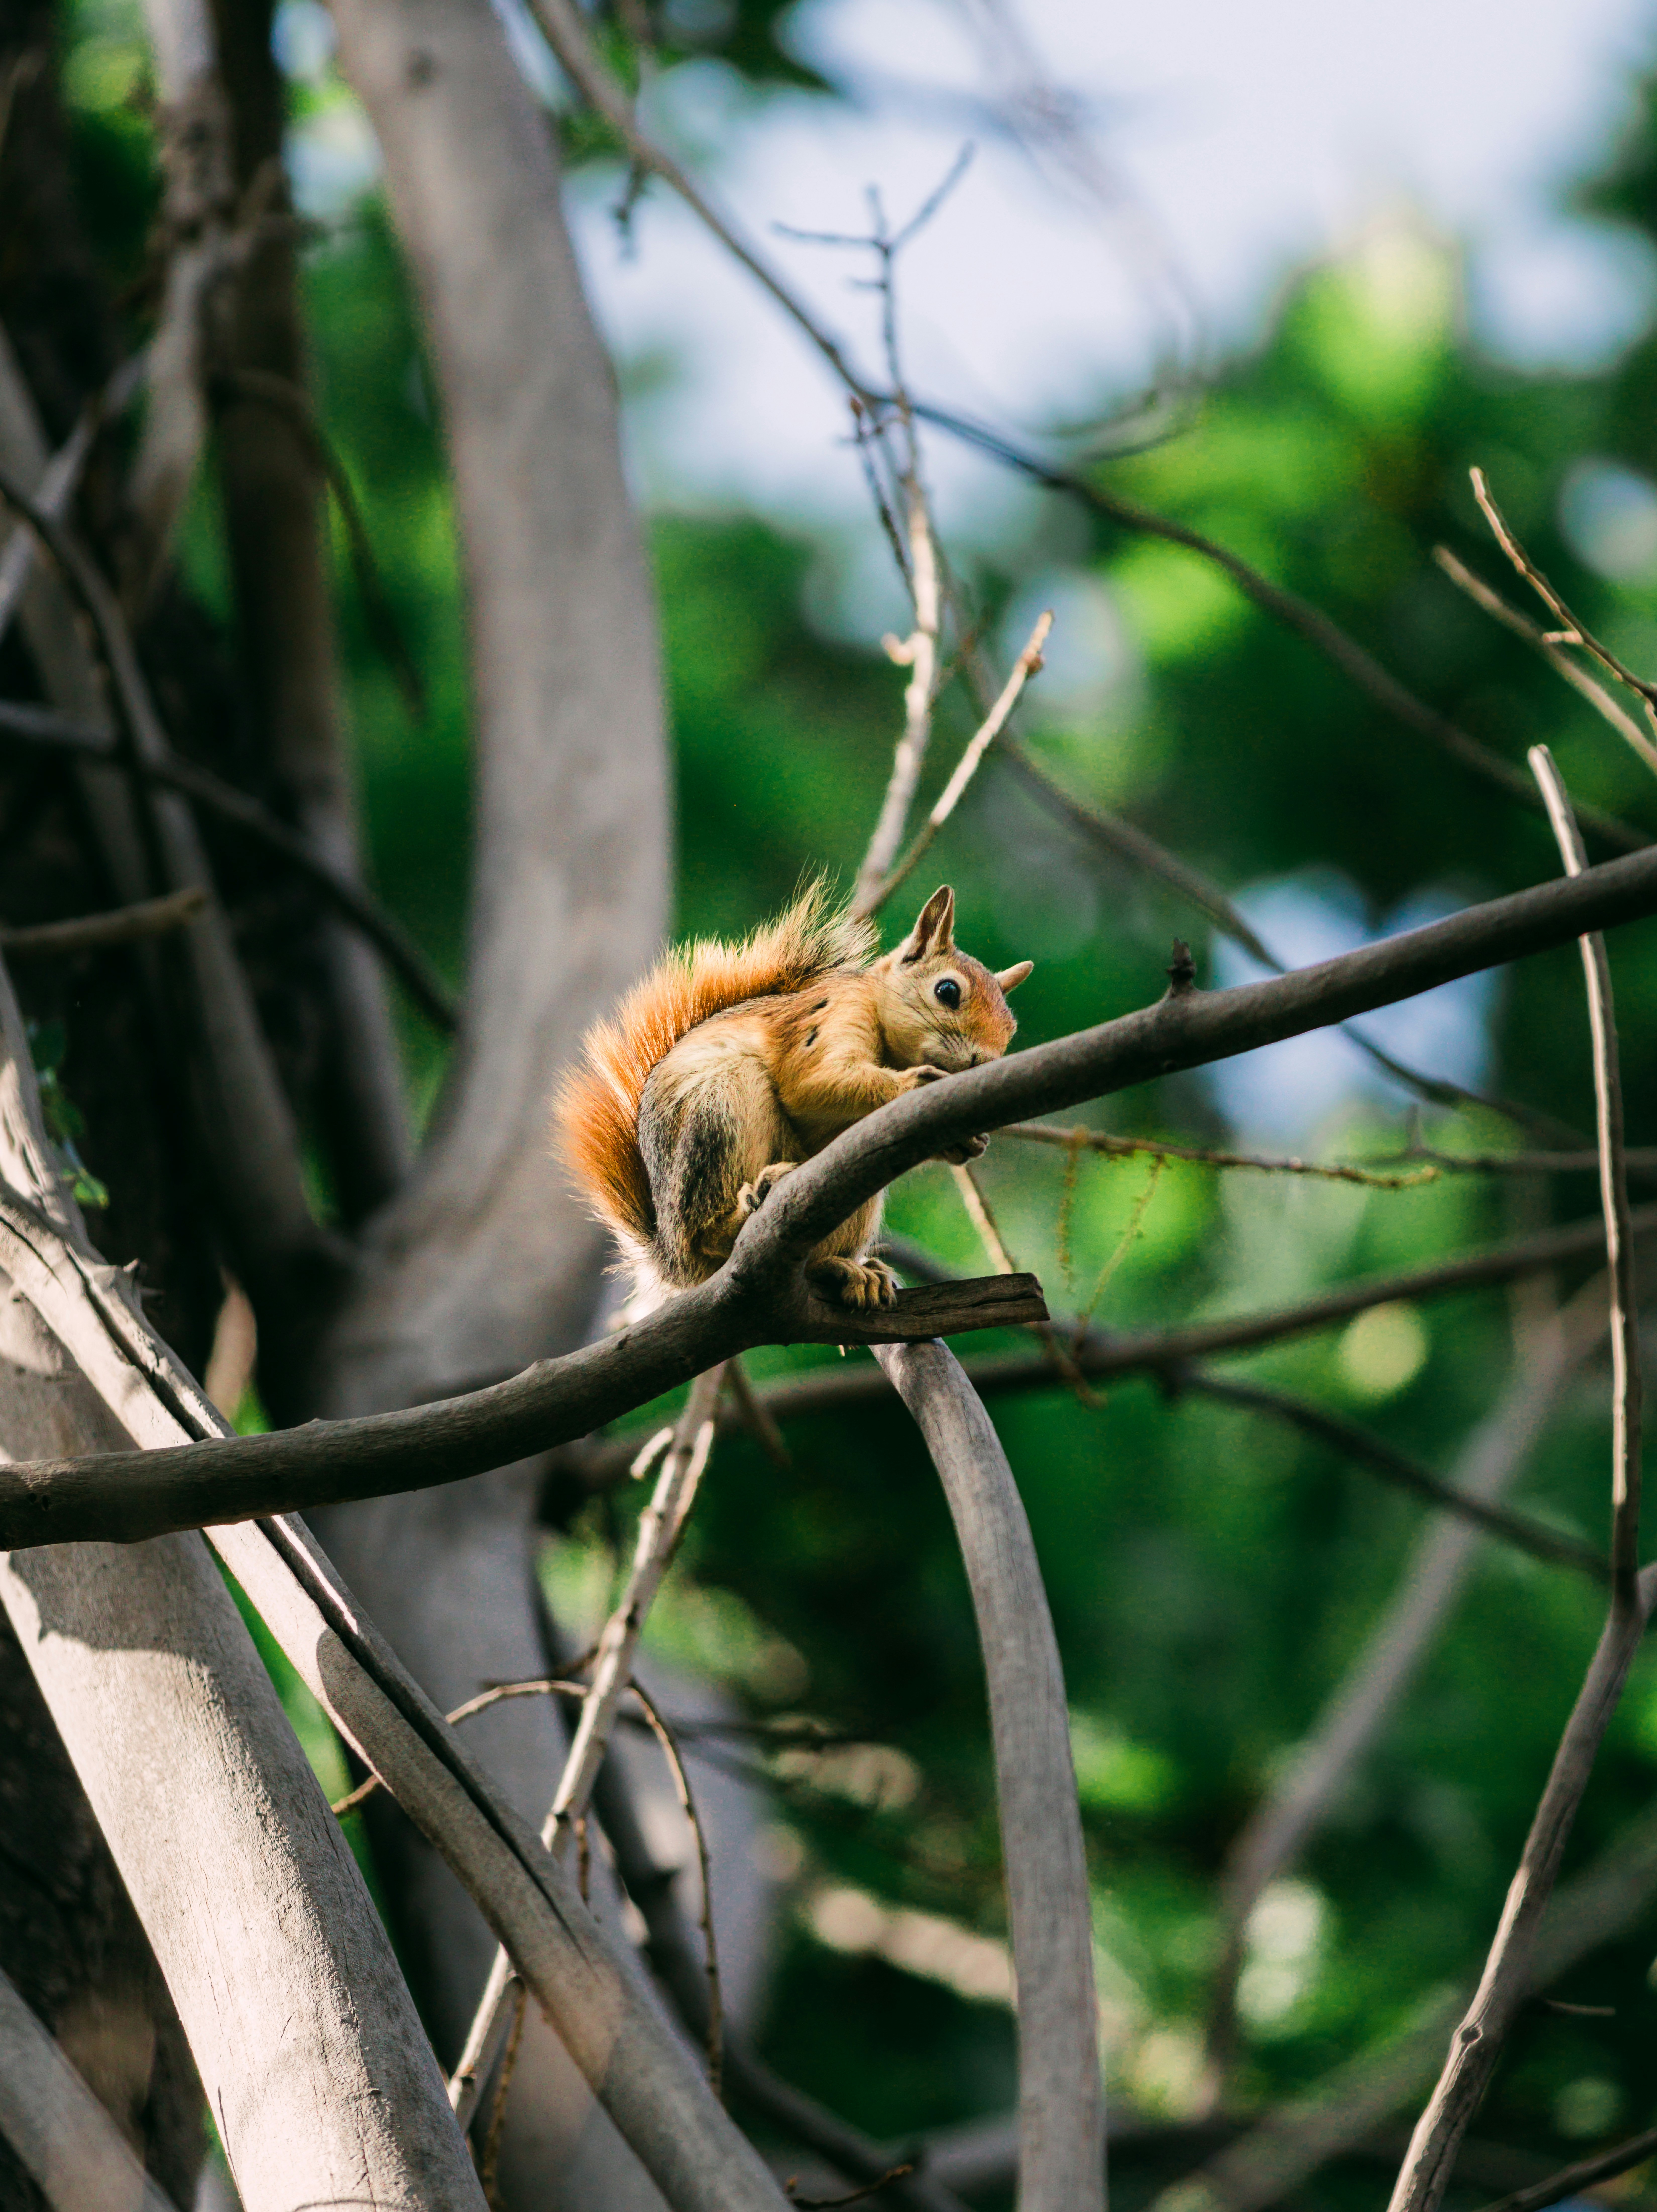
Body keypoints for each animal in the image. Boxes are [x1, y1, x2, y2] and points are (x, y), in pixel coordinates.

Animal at [554, 881, 1033, 1310]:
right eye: (947, 991)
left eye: (1011, 1027)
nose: (983, 1062)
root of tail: (673, 1260)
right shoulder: (833, 1015)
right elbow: (810, 1085)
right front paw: (918, 1085)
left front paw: (966, 1142)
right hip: (721, 1111)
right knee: (705, 1233)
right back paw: (744, 1211)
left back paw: (849, 1271)